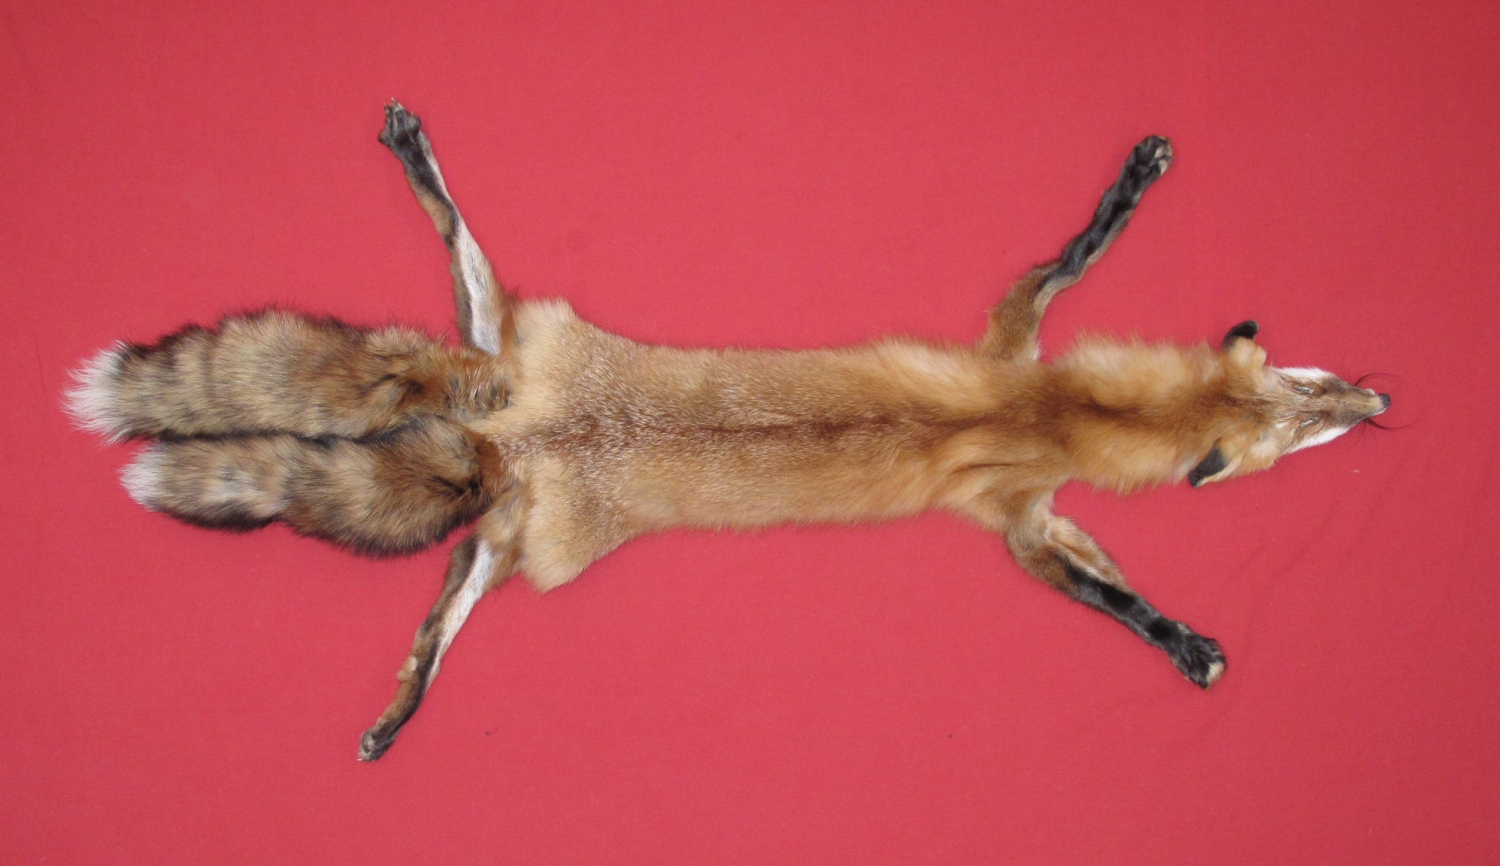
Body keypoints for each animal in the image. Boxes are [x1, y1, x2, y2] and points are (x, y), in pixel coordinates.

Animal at [66, 103, 1391, 761]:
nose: (1379, 402)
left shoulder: (1019, 371)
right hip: (517, 525)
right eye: (1305, 422)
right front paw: (1184, 642)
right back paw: (403, 711)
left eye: (1316, 391)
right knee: (436, 621)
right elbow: (1107, 582)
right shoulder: (1020, 477)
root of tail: (513, 431)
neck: (1053, 408)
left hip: (500, 428)